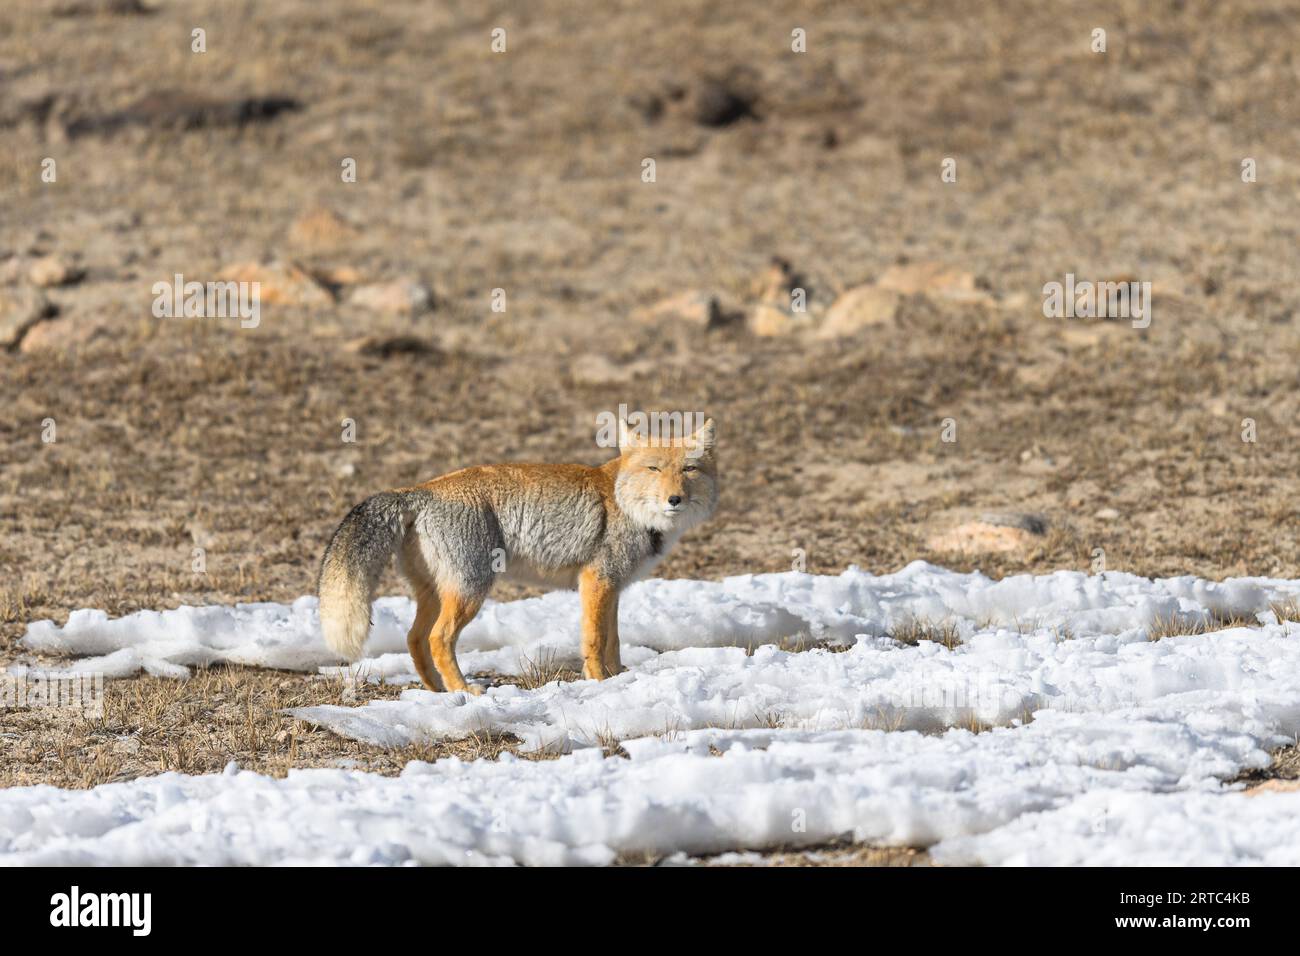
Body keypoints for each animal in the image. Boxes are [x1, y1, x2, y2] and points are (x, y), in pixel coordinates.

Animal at [318, 417, 717, 694]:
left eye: (689, 469)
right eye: (654, 468)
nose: (674, 499)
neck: (627, 506)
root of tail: (419, 489)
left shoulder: (613, 588)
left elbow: (613, 641)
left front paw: (618, 676)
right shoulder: (597, 581)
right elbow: (594, 639)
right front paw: (599, 681)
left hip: (435, 594)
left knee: (415, 639)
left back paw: (438, 691)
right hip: (471, 591)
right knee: (437, 640)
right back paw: (464, 690)